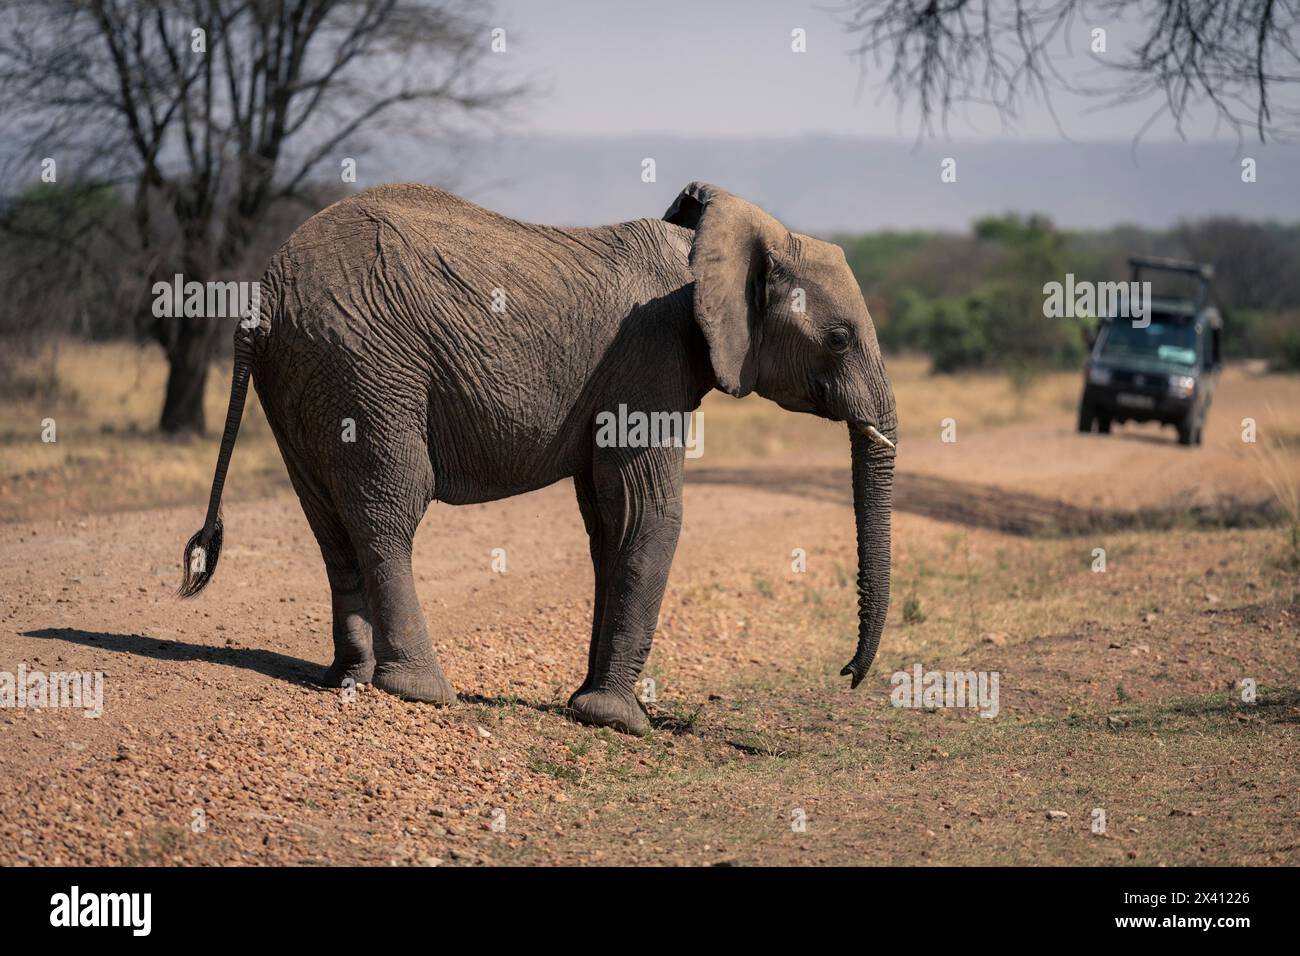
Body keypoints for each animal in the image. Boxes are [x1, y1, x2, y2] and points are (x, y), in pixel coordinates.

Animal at [179, 181, 897, 735]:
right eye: (839, 339)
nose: (847, 674)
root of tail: (265, 294)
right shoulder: (652, 358)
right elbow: (648, 513)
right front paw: (621, 723)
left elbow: (608, 523)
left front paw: (592, 705)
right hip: (367, 367)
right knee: (387, 512)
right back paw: (421, 691)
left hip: (306, 377)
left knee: (329, 523)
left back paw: (347, 680)